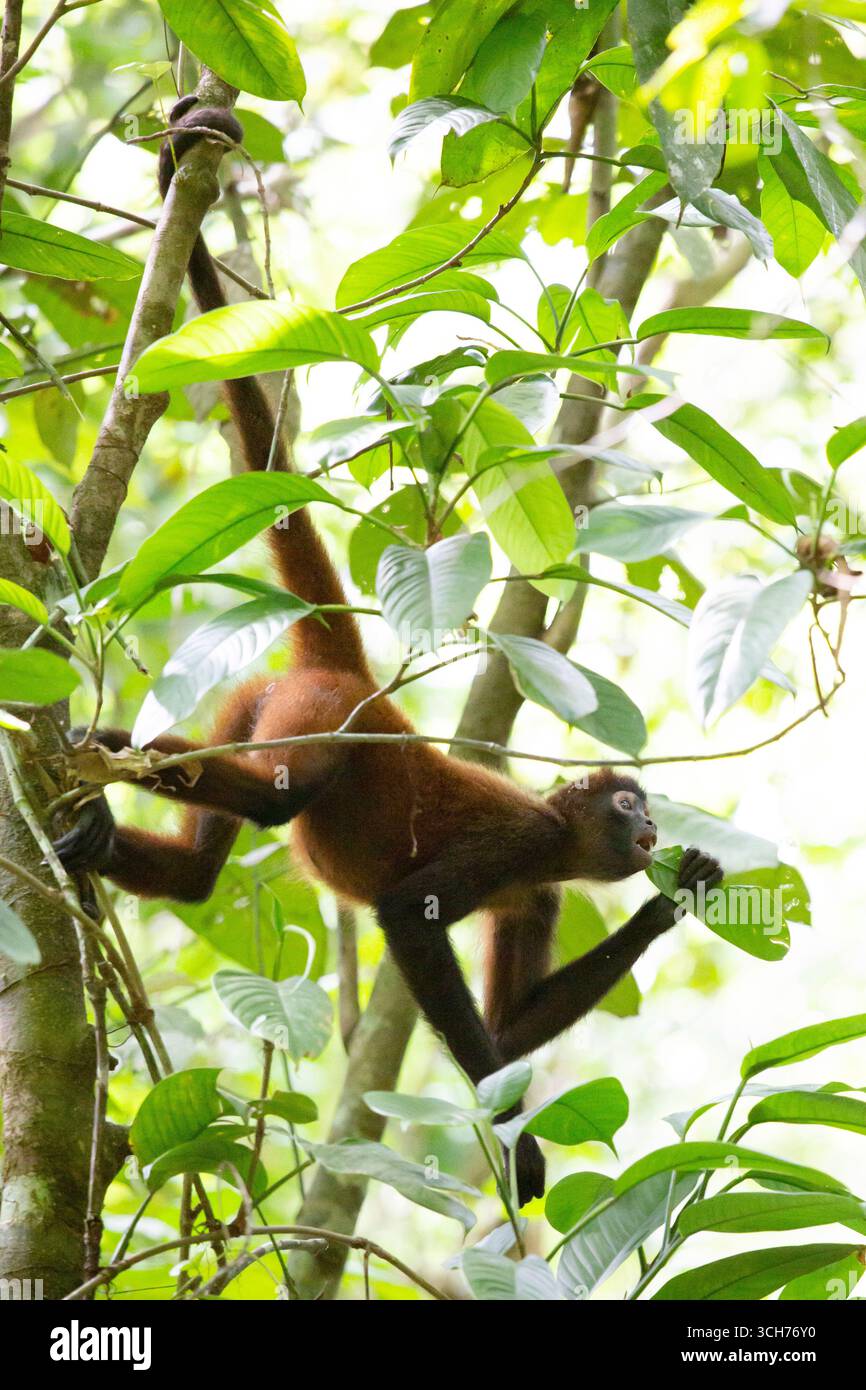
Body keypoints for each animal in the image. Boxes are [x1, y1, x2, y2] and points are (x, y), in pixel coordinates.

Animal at [52, 101, 723, 1205]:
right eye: (628, 803)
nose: (649, 826)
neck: (554, 830)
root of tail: (366, 683)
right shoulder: (521, 847)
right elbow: (410, 918)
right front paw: (516, 1137)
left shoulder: (540, 889)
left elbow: (509, 1030)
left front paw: (679, 895)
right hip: (313, 713)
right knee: (278, 798)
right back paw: (101, 748)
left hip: (258, 701)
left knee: (200, 872)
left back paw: (100, 825)